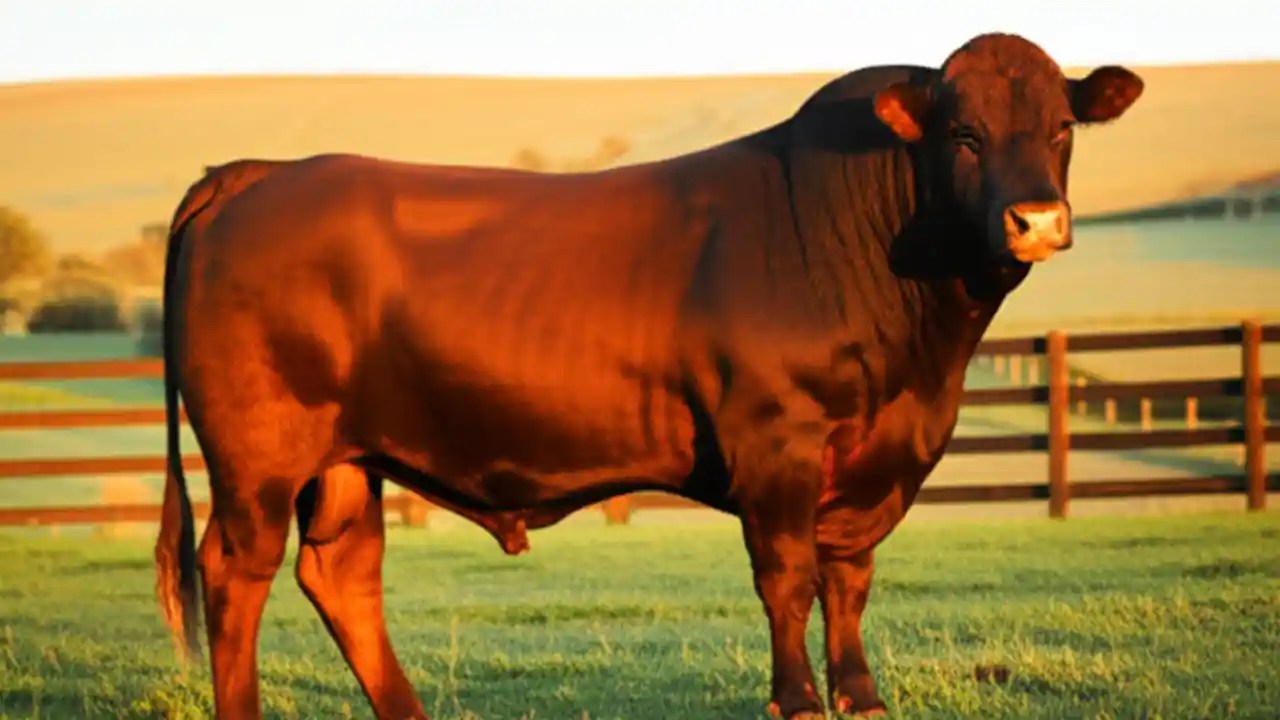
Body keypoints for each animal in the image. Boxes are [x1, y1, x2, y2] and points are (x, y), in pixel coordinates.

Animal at [153, 32, 1142, 719]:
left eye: (1062, 127)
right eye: (964, 133)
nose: (1037, 219)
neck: (922, 361)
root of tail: (254, 176)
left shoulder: (876, 456)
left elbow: (849, 581)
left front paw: (861, 698)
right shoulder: (777, 438)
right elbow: (787, 577)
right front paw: (796, 700)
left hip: (347, 459)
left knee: (343, 575)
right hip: (259, 456)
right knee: (237, 574)